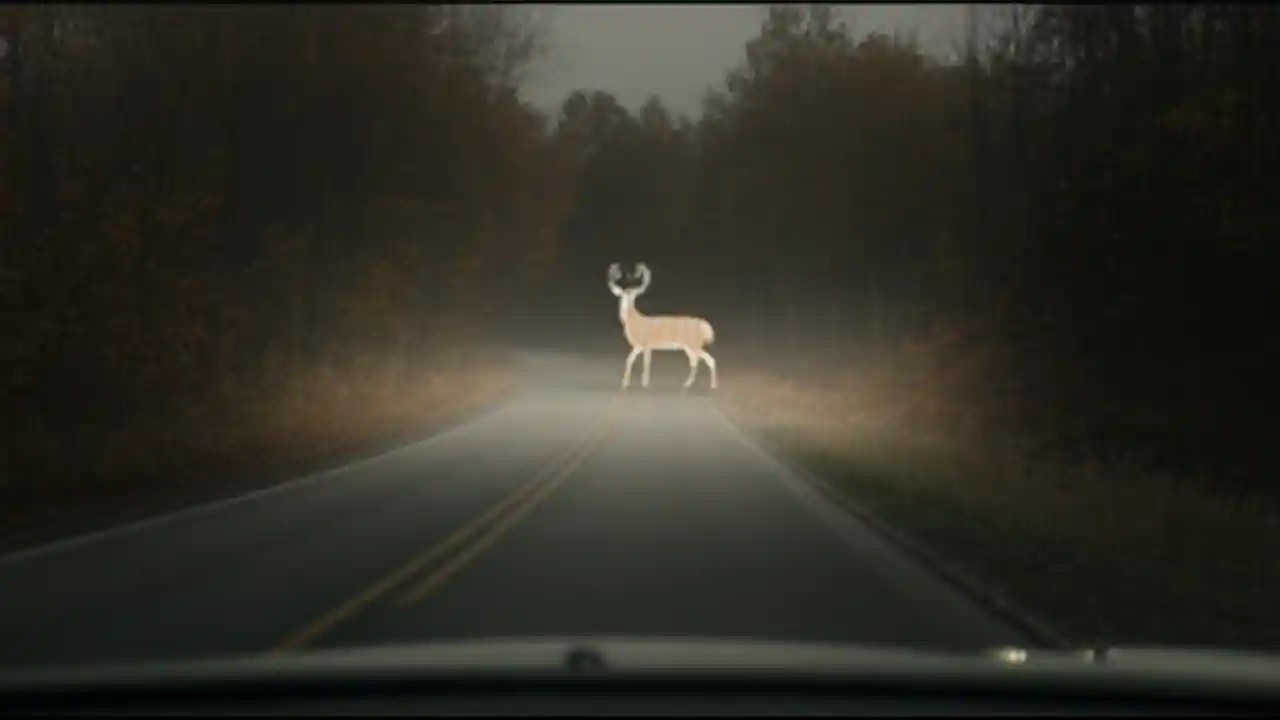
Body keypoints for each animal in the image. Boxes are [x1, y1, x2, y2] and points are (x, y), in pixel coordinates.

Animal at [607, 262, 717, 391]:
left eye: (633, 297)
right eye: (621, 296)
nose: (626, 303)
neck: (634, 321)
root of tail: (704, 326)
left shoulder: (647, 344)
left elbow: (646, 363)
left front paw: (644, 384)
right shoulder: (638, 346)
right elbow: (629, 360)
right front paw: (625, 383)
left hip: (694, 344)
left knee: (709, 360)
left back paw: (712, 385)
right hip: (689, 346)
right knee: (695, 361)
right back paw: (687, 384)